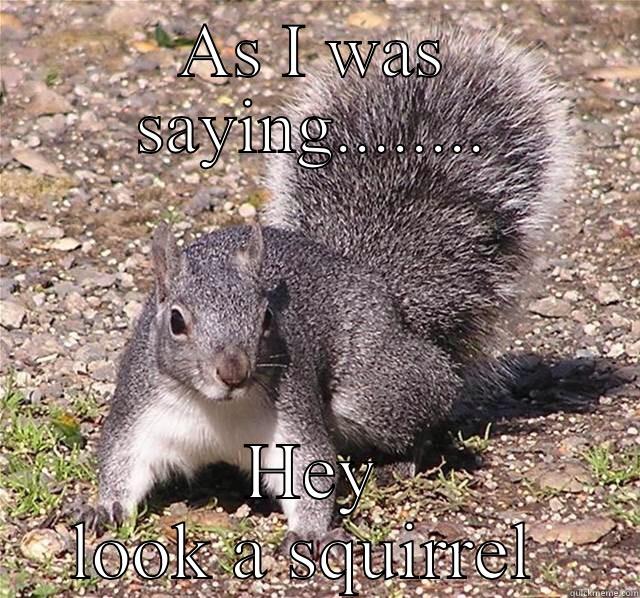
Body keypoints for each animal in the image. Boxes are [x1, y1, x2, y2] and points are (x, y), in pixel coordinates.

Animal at [75, 28, 575, 553]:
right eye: (175, 321)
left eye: (267, 319)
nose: (233, 371)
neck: (216, 410)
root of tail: (377, 287)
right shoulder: (141, 415)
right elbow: (122, 464)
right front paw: (100, 509)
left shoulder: (292, 418)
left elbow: (311, 470)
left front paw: (311, 533)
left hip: (374, 389)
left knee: (430, 406)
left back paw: (404, 460)